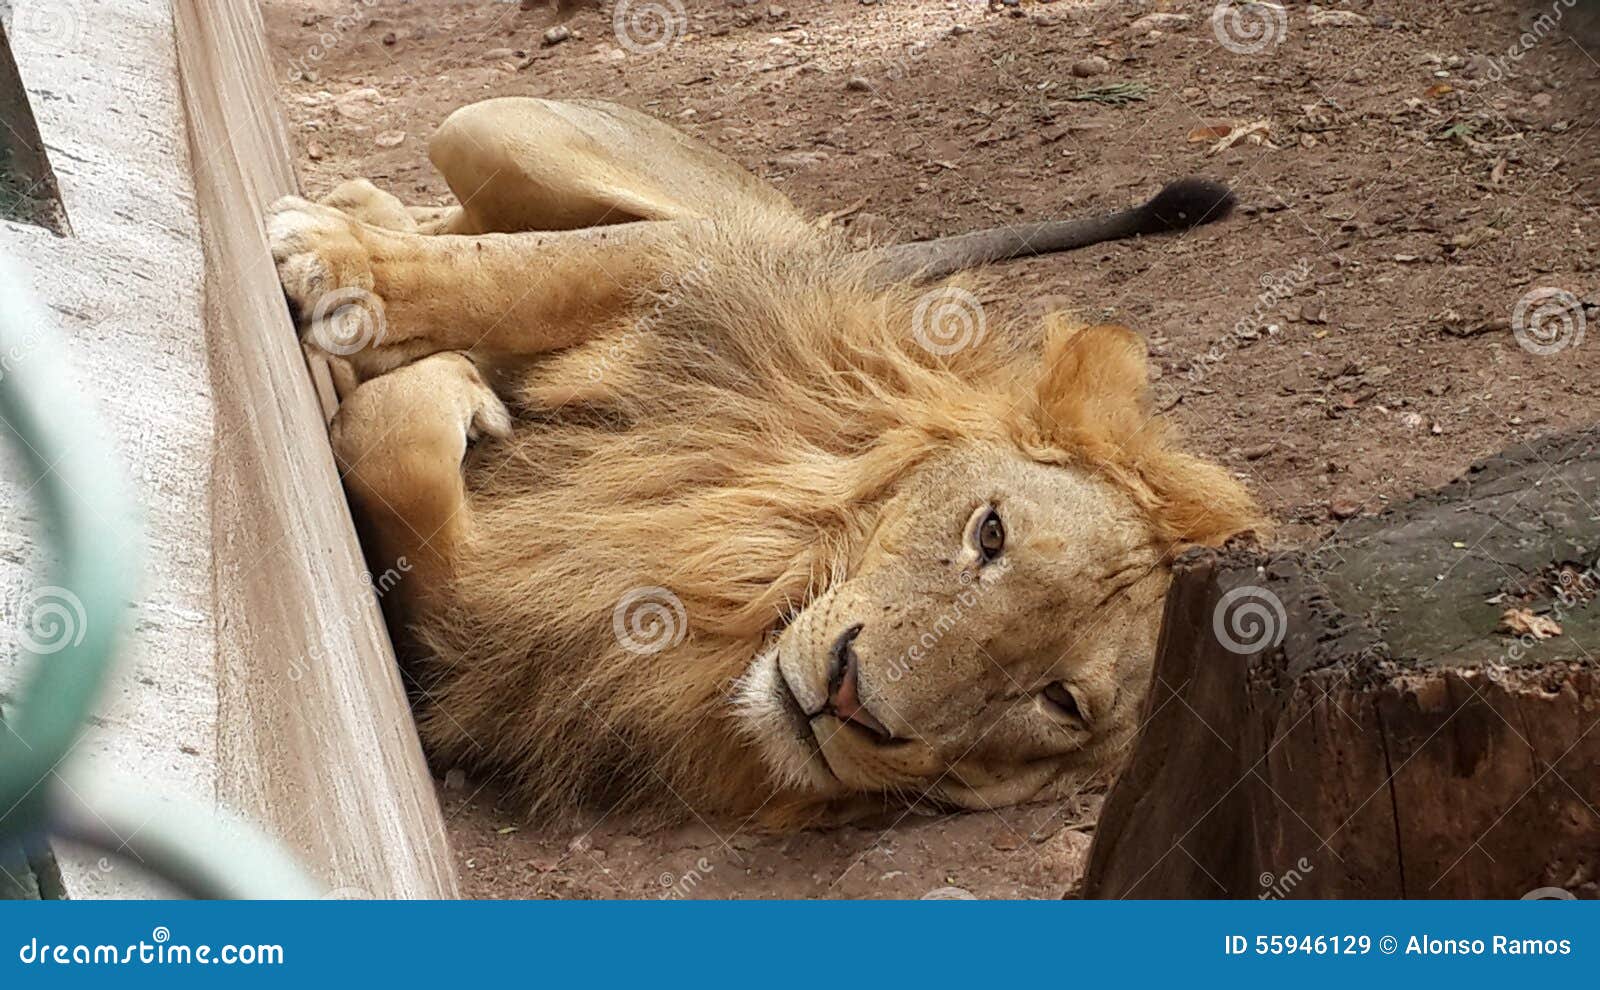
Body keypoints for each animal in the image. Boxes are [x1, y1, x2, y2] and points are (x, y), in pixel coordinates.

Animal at [269, 97, 1262, 827]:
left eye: (1059, 703)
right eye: (990, 534)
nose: (852, 700)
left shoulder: (491, 638)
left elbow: (409, 486)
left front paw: (432, 382)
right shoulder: (687, 259)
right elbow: (519, 277)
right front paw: (341, 270)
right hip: (503, 130)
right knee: (457, 216)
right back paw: (354, 221)